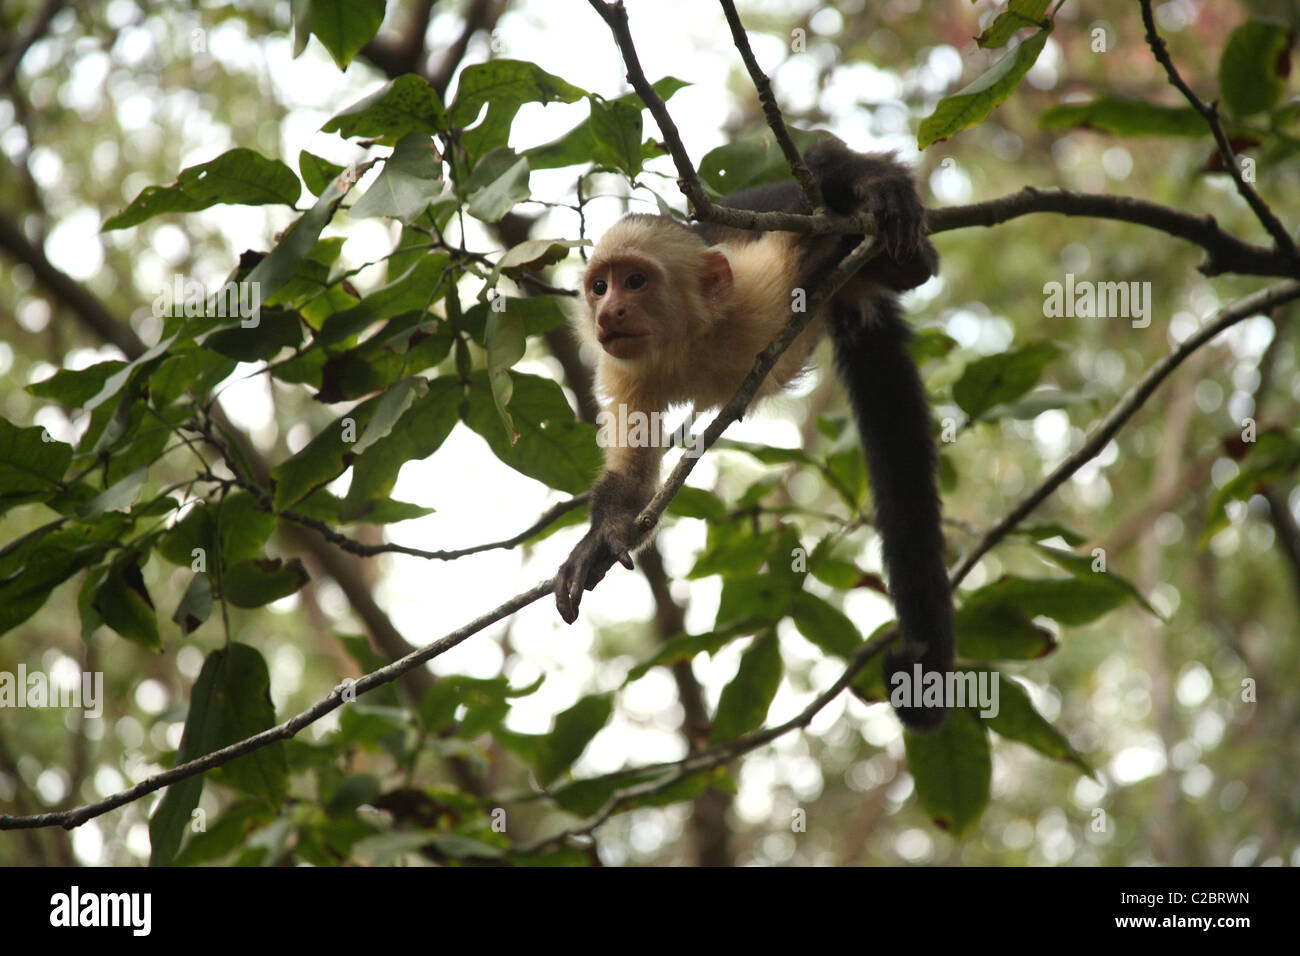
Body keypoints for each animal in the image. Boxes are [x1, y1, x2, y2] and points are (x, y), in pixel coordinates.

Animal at [554, 137, 953, 731]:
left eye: (635, 281)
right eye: (600, 286)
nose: (608, 311)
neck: (691, 344)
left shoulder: (761, 281)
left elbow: (821, 166)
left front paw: (877, 187)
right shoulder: (624, 370)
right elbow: (629, 482)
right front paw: (600, 537)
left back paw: (896, 237)